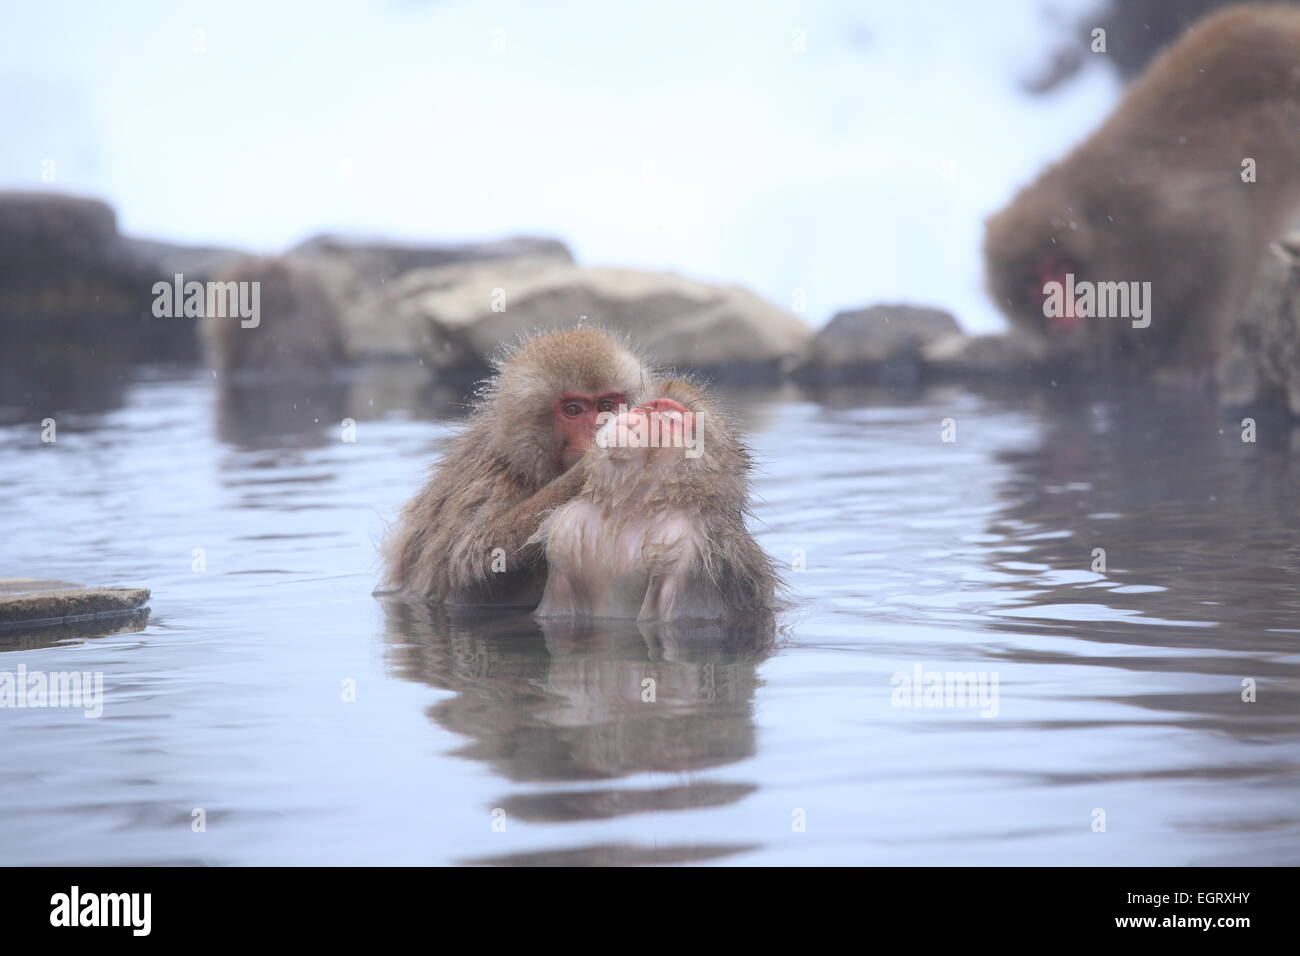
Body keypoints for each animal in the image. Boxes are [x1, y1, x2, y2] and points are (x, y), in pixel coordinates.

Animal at [380, 326, 648, 606]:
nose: (597, 431)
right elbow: (468, 559)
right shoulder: (493, 481)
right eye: (573, 410)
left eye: (606, 405)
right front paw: (587, 466)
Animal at [531, 379, 781, 622]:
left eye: (671, 417)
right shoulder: (564, 534)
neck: (630, 508)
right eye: (651, 406)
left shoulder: (689, 551)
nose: (642, 412)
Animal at [985, 4, 1300, 374]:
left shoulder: (1152, 219)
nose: (1058, 306)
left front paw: (1199, 353)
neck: (1102, 233)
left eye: (1058, 269)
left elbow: (1226, 234)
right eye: (1035, 280)